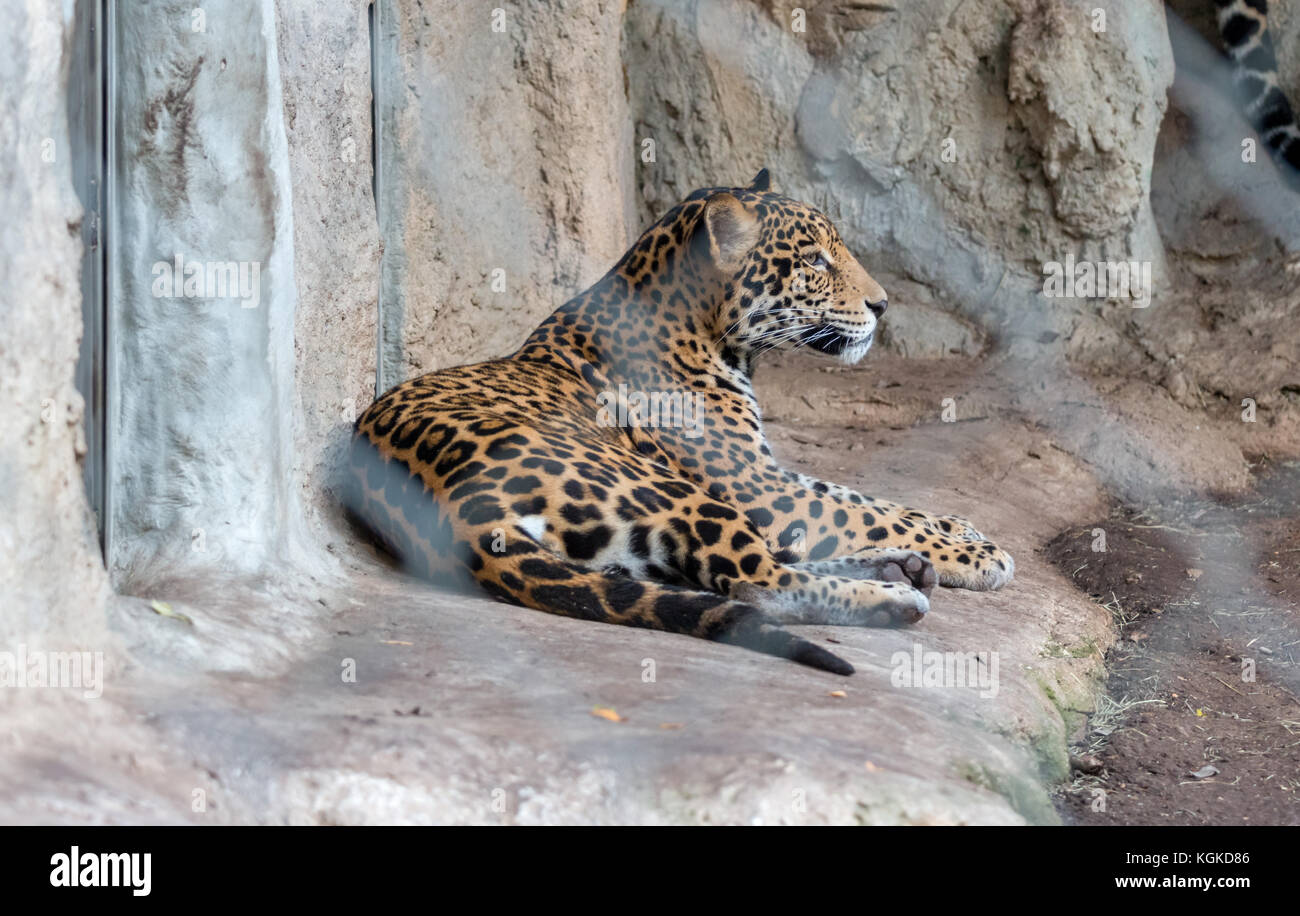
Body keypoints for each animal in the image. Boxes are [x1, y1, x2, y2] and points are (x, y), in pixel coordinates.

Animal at [347, 168, 1015, 676]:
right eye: (813, 262)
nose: (882, 304)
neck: (710, 335)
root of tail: (451, 509)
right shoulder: (758, 487)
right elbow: (857, 511)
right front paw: (979, 555)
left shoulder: (766, 471)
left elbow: (862, 497)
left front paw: (956, 529)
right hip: (660, 486)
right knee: (758, 581)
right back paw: (893, 594)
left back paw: (899, 566)